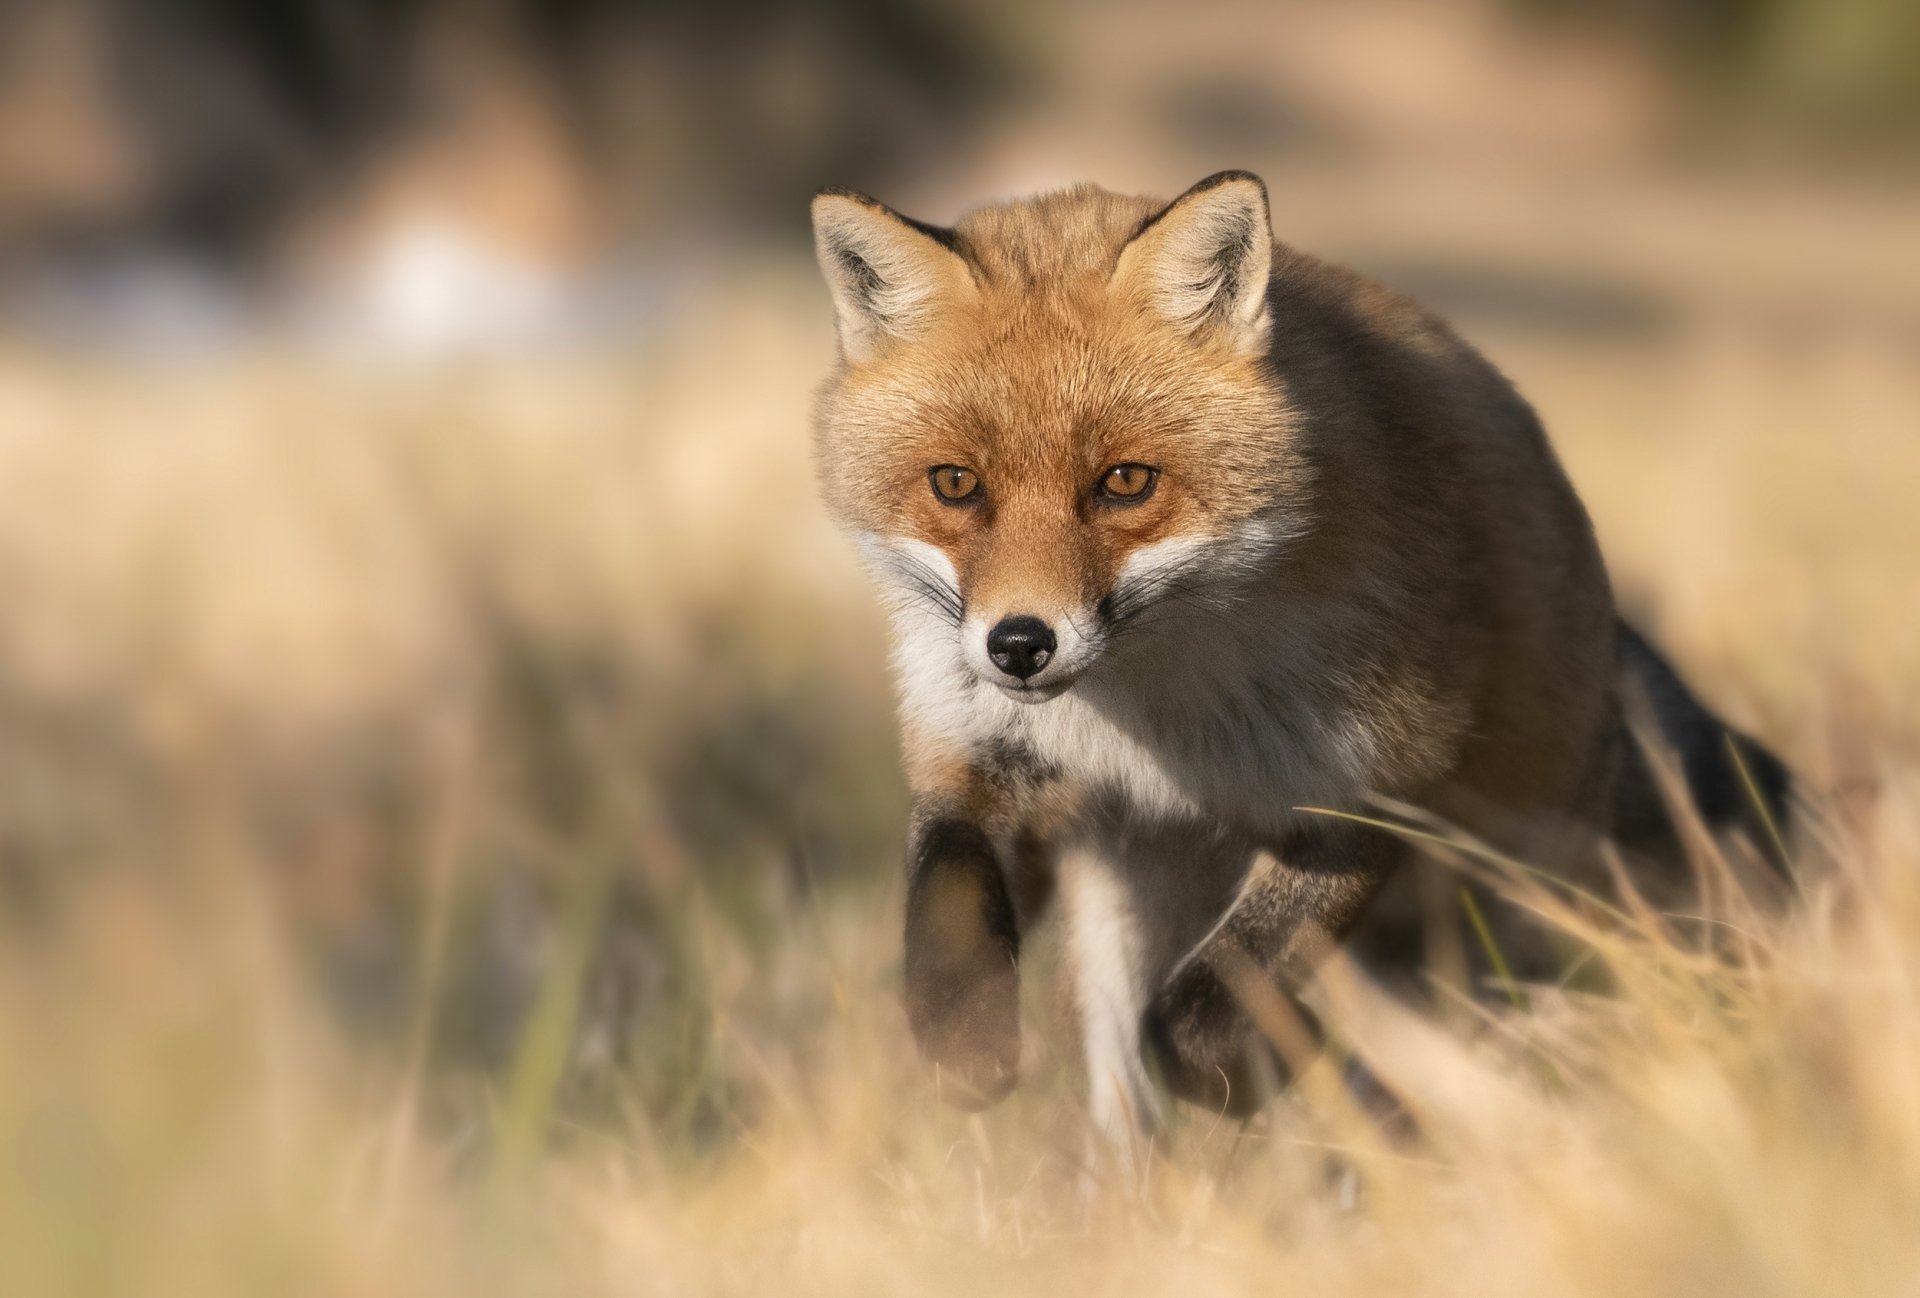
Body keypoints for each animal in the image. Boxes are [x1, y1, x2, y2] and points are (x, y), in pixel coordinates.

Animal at [807, 171, 1791, 1163]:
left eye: (1125, 482)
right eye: (955, 485)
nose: (1018, 645)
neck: (1144, 721)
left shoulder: (1363, 786)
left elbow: (1201, 1012)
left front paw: (1250, 1077)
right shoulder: (976, 755)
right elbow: (946, 899)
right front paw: (965, 1046)